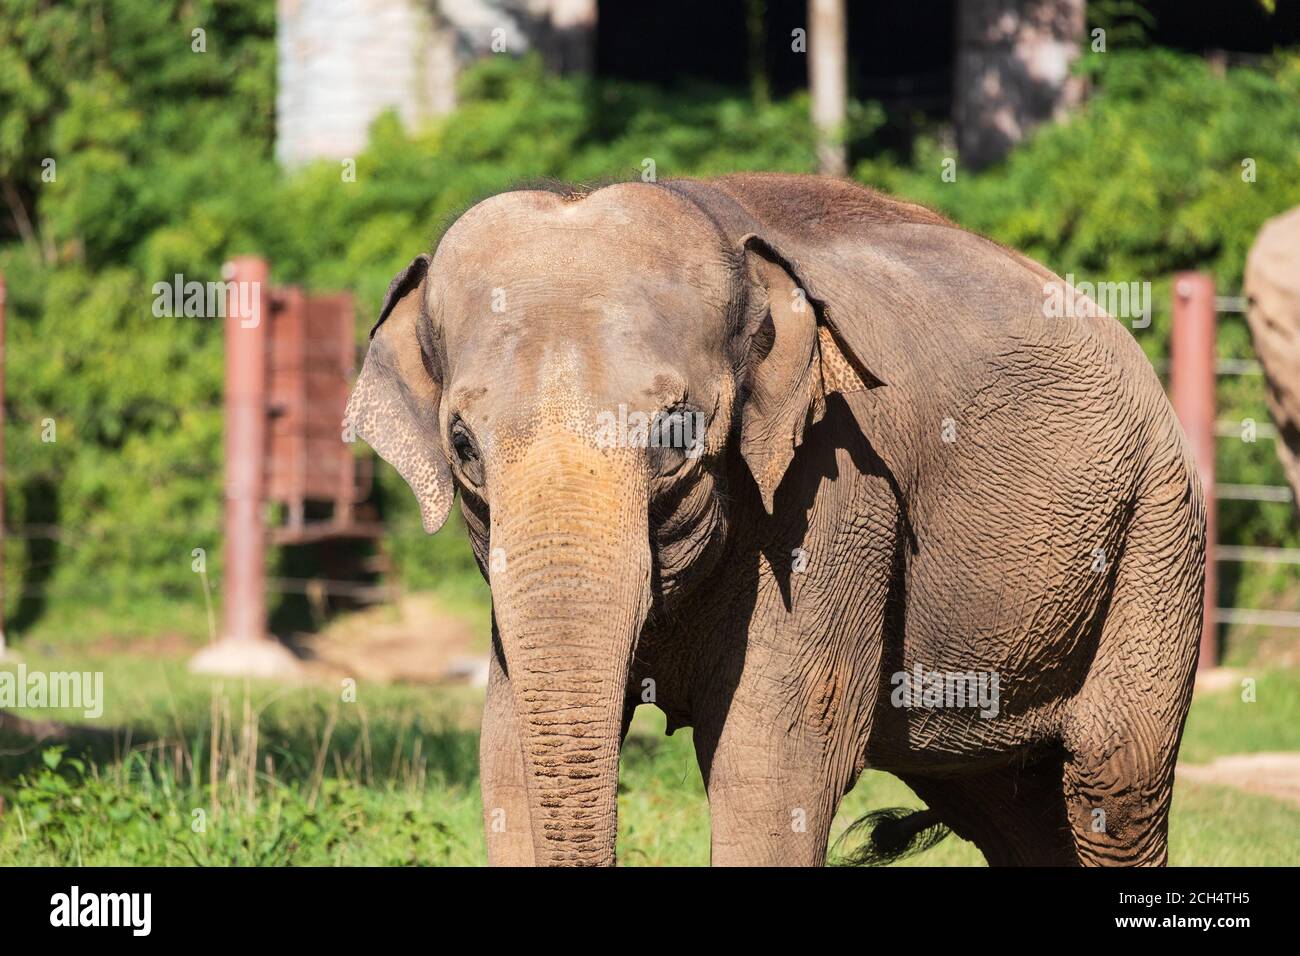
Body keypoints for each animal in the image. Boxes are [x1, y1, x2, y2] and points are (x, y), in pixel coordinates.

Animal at [345, 173, 1205, 867]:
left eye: (677, 433)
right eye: (463, 444)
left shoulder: (837, 490)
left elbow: (769, 769)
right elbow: (504, 759)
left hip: (1156, 531)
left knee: (1113, 782)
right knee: (1007, 805)